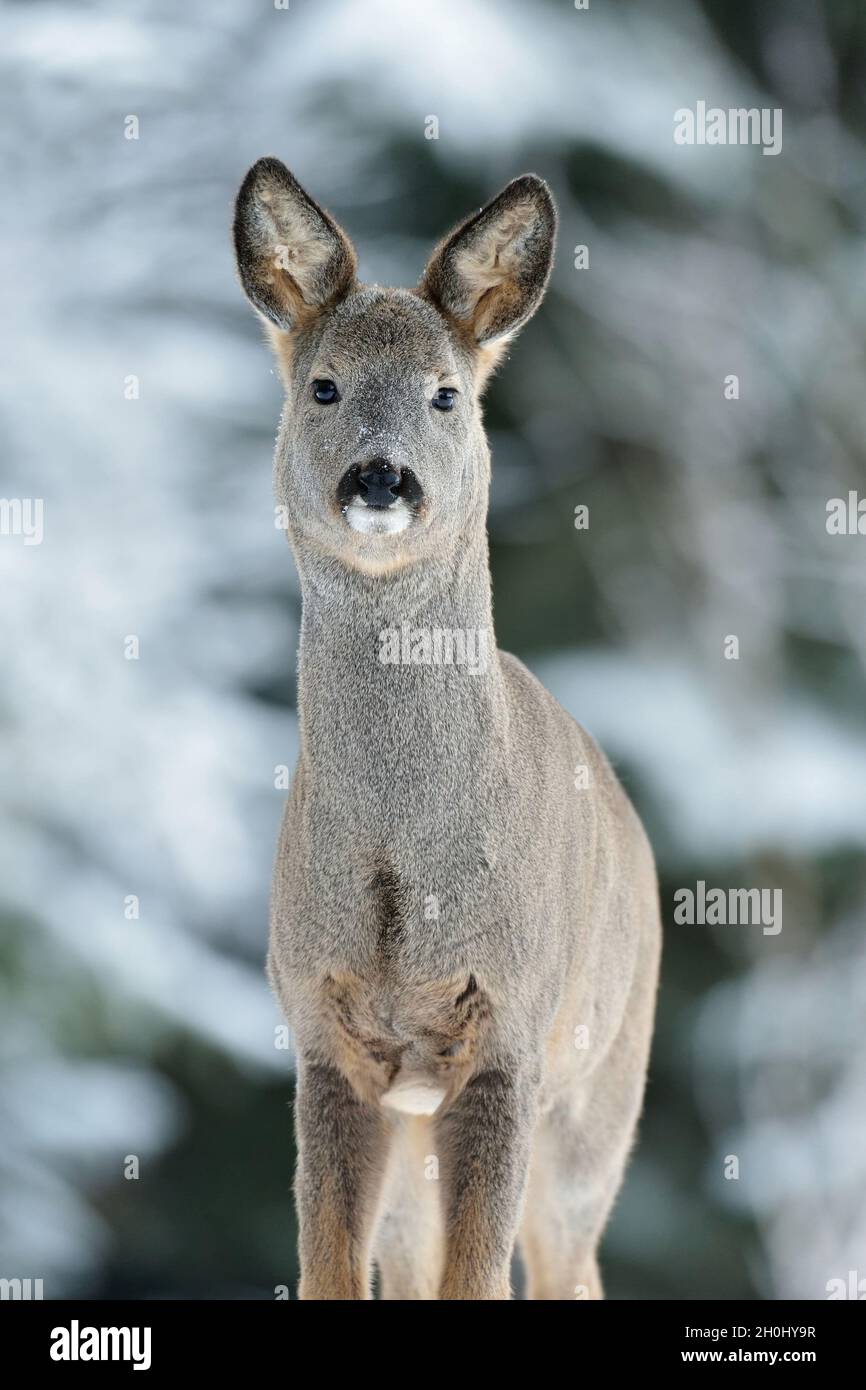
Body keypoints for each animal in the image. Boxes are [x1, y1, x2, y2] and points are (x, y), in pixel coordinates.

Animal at [233, 157, 661, 1301]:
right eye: (324, 385)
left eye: (446, 393)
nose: (381, 476)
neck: (400, 873)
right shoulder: (323, 1033)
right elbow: (331, 1271)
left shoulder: (511, 1029)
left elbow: (478, 1278)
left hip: (601, 1089)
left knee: (568, 1267)